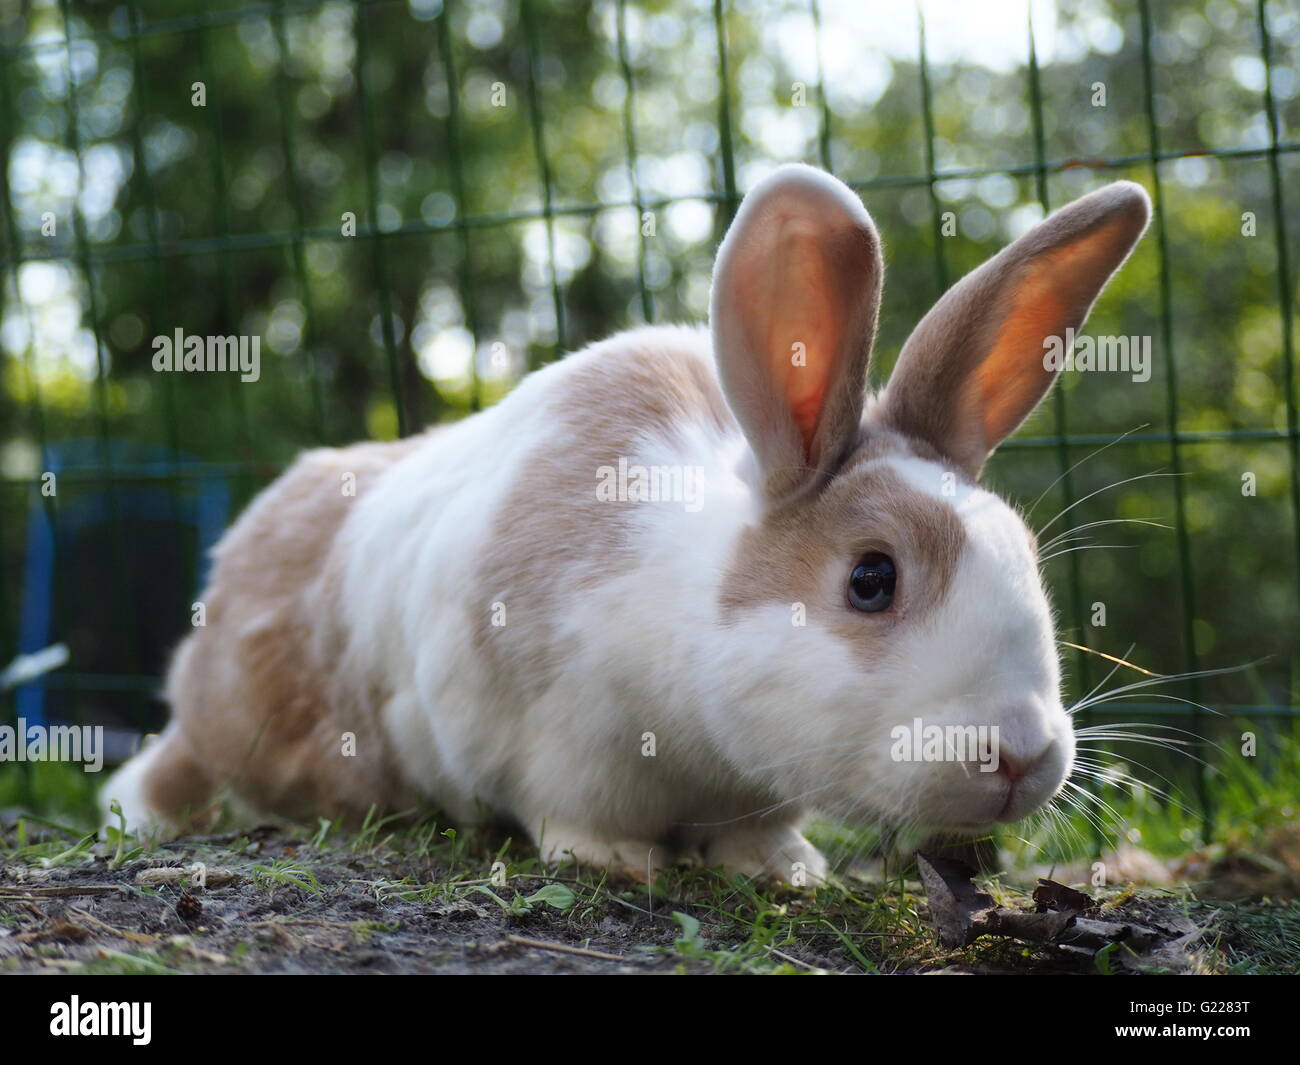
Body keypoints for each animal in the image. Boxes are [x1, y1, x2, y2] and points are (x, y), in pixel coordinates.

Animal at [102, 164, 1150, 882]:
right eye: (871, 578)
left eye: (1024, 553)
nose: (1021, 755)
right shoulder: (546, 737)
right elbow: (569, 812)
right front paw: (618, 862)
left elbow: (760, 833)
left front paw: (784, 868)